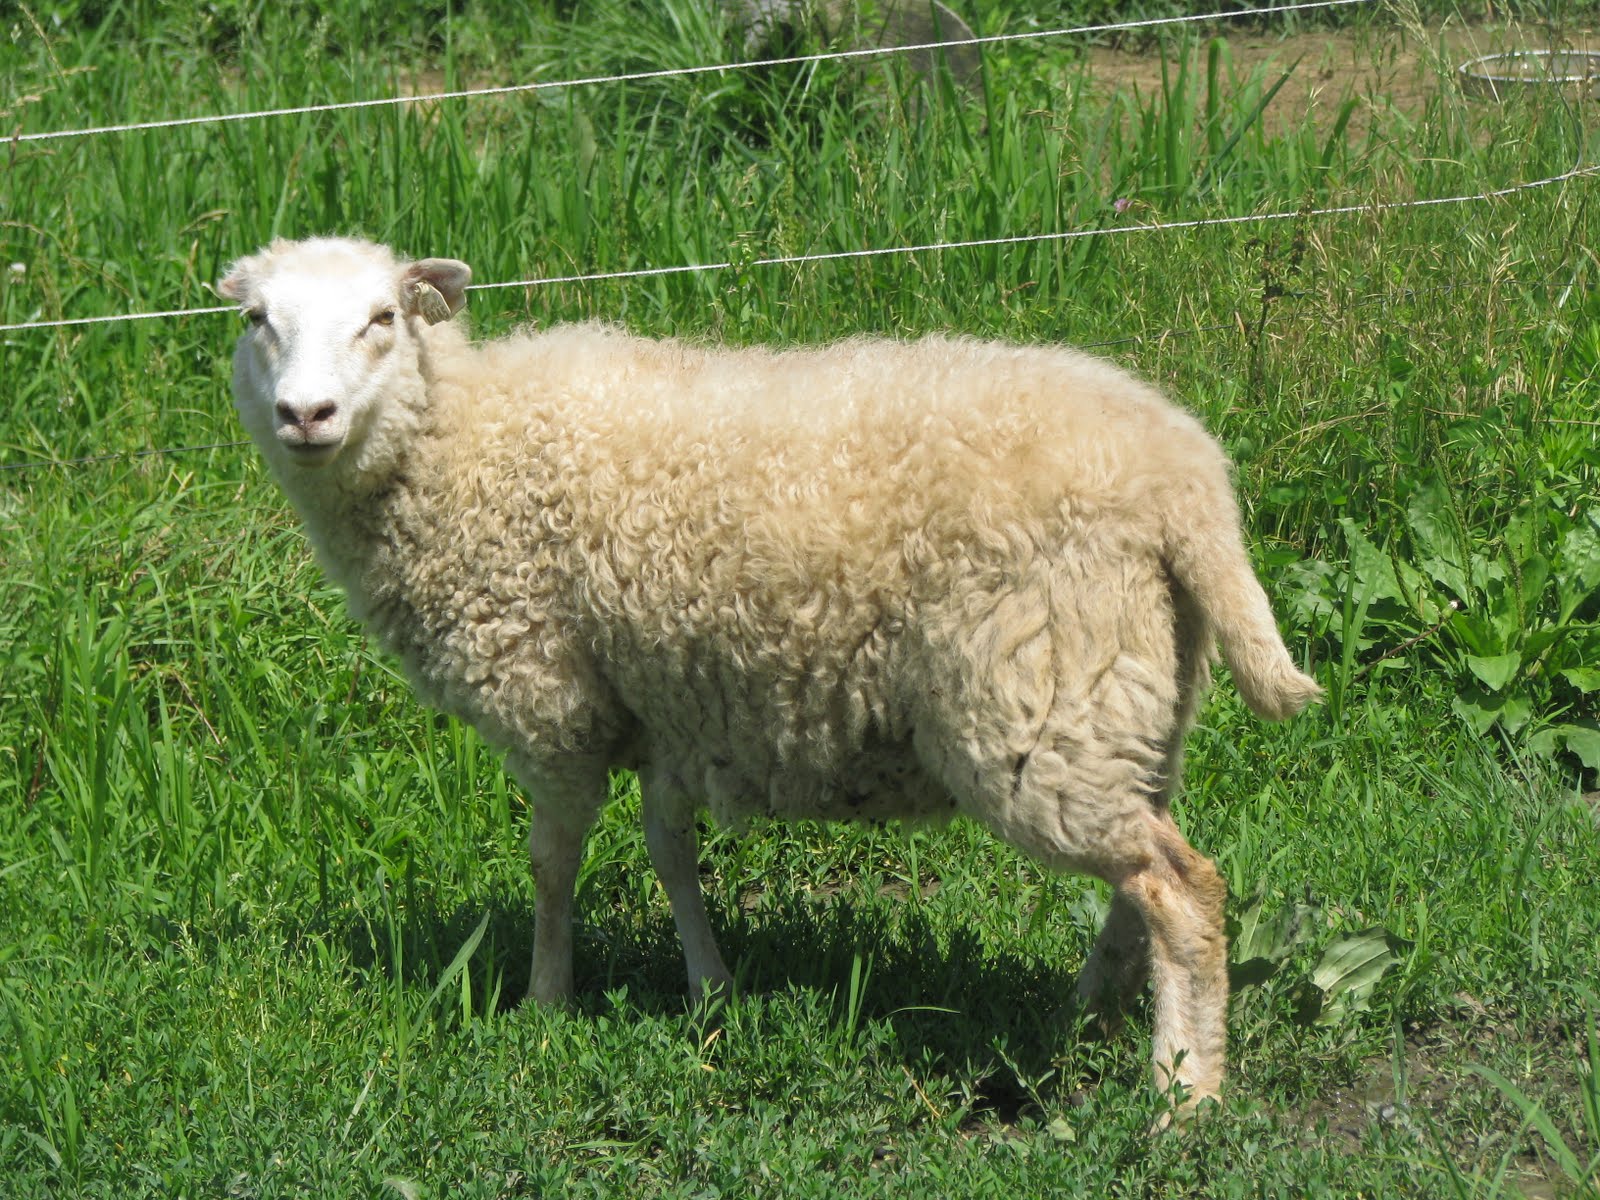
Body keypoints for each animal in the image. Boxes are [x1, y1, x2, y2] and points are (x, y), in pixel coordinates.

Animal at [219, 235, 1320, 1118]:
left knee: (1182, 890)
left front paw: (545, 1002)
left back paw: (1183, 1097)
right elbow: (671, 851)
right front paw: (712, 992)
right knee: (1143, 879)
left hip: (1037, 701)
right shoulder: (665, 704)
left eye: (381, 319)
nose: (305, 414)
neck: (463, 447)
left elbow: (552, 862)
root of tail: (1186, 478)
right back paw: (1092, 1016)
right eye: (256, 320)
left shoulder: (550, 702)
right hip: (1123, 698)